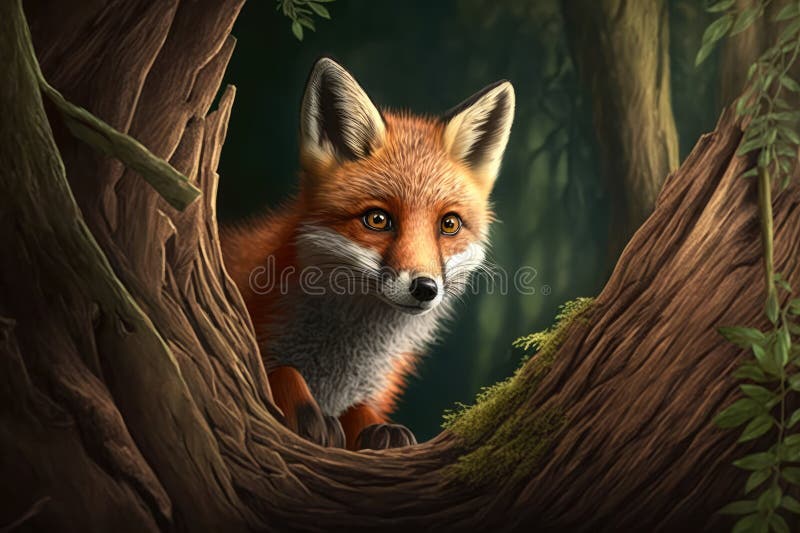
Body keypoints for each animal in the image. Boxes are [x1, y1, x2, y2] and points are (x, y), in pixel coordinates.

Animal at [221, 57, 514, 450]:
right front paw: (304, 410)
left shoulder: (373, 393)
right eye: (377, 219)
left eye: (449, 224)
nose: (425, 288)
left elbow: (362, 410)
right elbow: (280, 372)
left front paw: (377, 429)